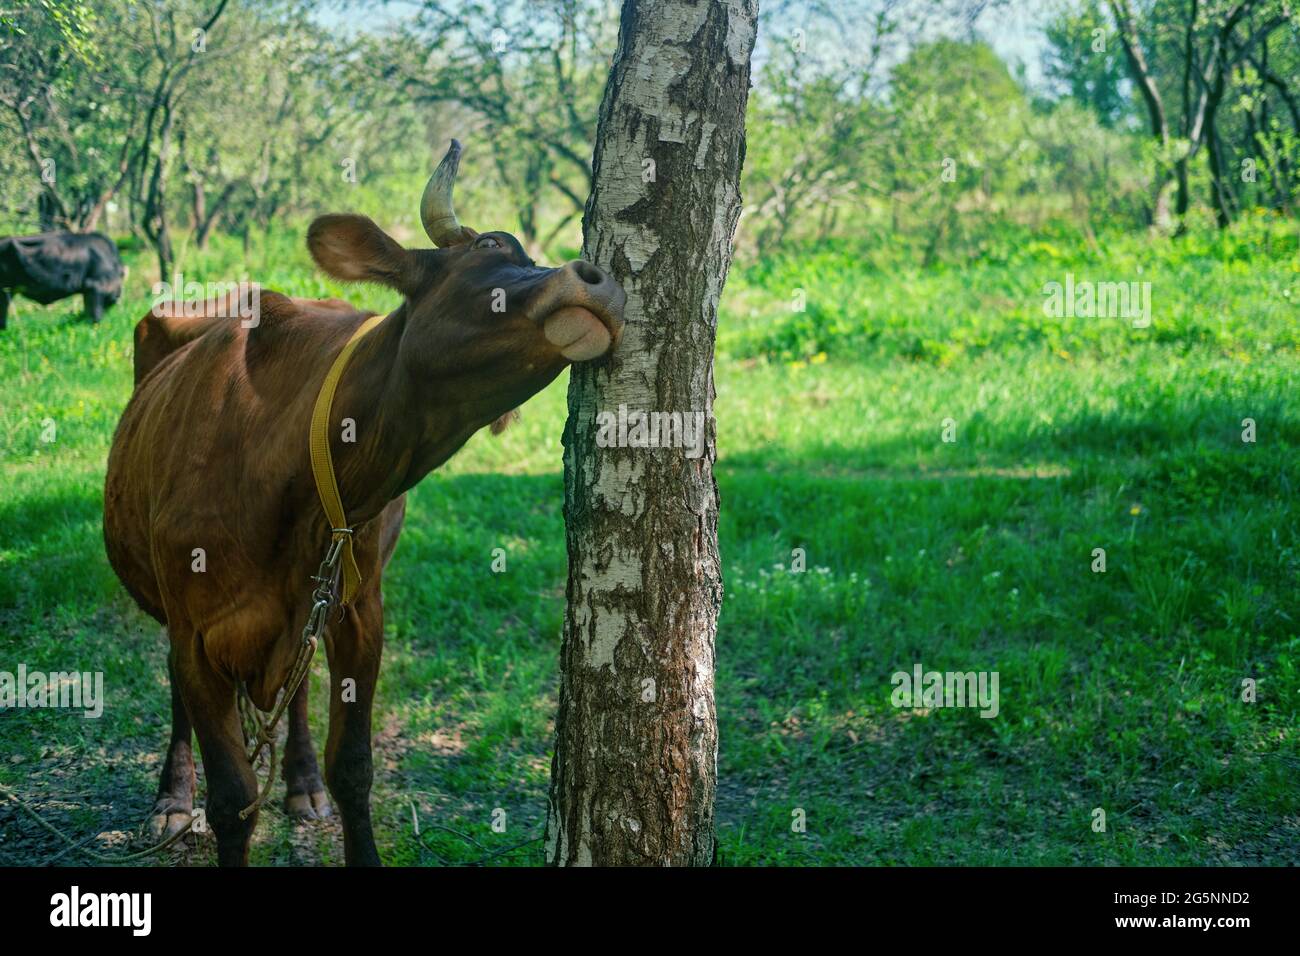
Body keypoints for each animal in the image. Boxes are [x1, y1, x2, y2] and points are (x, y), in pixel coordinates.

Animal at [102, 140, 625, 866]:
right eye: (490, 245)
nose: (604, 281)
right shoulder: (195, 633)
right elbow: (233, 795)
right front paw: (191, 800)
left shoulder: (358, 610)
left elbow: (353, 765)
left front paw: (326, 789)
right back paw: (173, 799)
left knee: (294, 691)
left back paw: (301, 784)